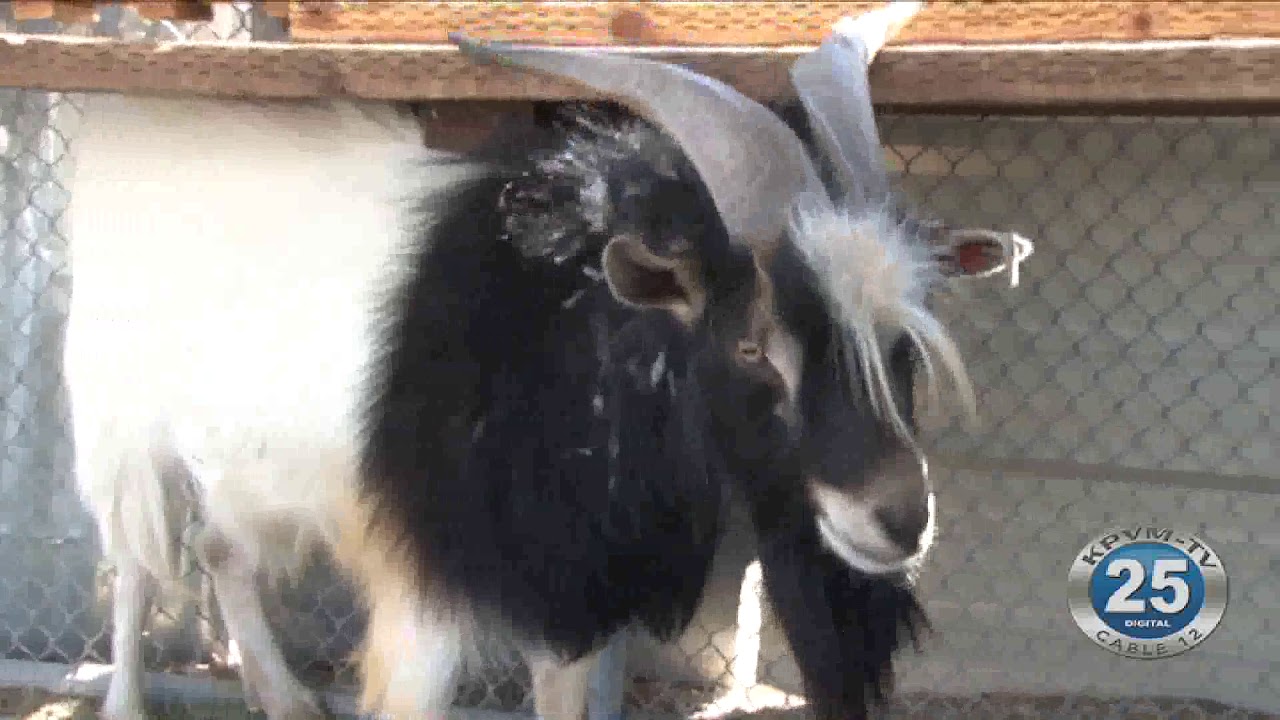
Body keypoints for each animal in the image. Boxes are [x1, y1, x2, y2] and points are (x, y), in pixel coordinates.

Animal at [62, 6, 1032, 720]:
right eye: (752, 344)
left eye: (902, 341)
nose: (900, 518)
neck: (559, 336)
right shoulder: (431, 593)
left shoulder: (571, 591)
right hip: (115, 418)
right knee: (134, 567)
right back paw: (129, 702)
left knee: (218, 545)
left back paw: (288, 697)